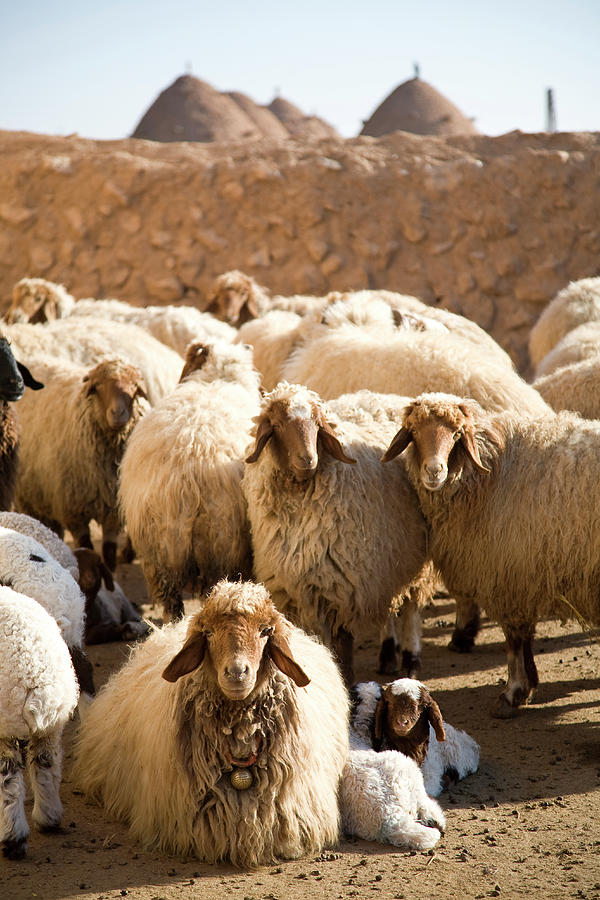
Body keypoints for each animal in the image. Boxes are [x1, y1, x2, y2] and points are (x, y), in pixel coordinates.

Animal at [0, 588, 79, 859]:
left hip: (5, 722)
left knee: (8, 783)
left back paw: (13, 839)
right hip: (53, 723)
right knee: (46, 763)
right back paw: (49, 818)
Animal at [14, 355, 149, 570]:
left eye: (134, 387)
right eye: (99, 386)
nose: (118, 413)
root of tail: (35, 359)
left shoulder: (113, 512)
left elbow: (109, 552)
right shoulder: (74, 511)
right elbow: (86, 547)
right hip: (28, 495)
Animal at [242, 382, 435, 685]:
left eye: (317, 424)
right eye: (277, 424)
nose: (308, 459)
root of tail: (386, 397)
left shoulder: (341, 585)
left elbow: (343, 641)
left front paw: (346, 678)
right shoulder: (298, 588)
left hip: (410, 559)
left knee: (411, 607)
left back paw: (410, 659)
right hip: (386, 560)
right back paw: (388, 654)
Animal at [382, 391, 600, 717]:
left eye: (456, 434)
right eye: (414, 432)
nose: (434, 471)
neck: (488, 473)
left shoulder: (508, 575)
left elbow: (514, 640)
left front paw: (513, 693)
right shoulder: (519, 576)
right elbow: (524, 637)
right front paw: (527, 686)